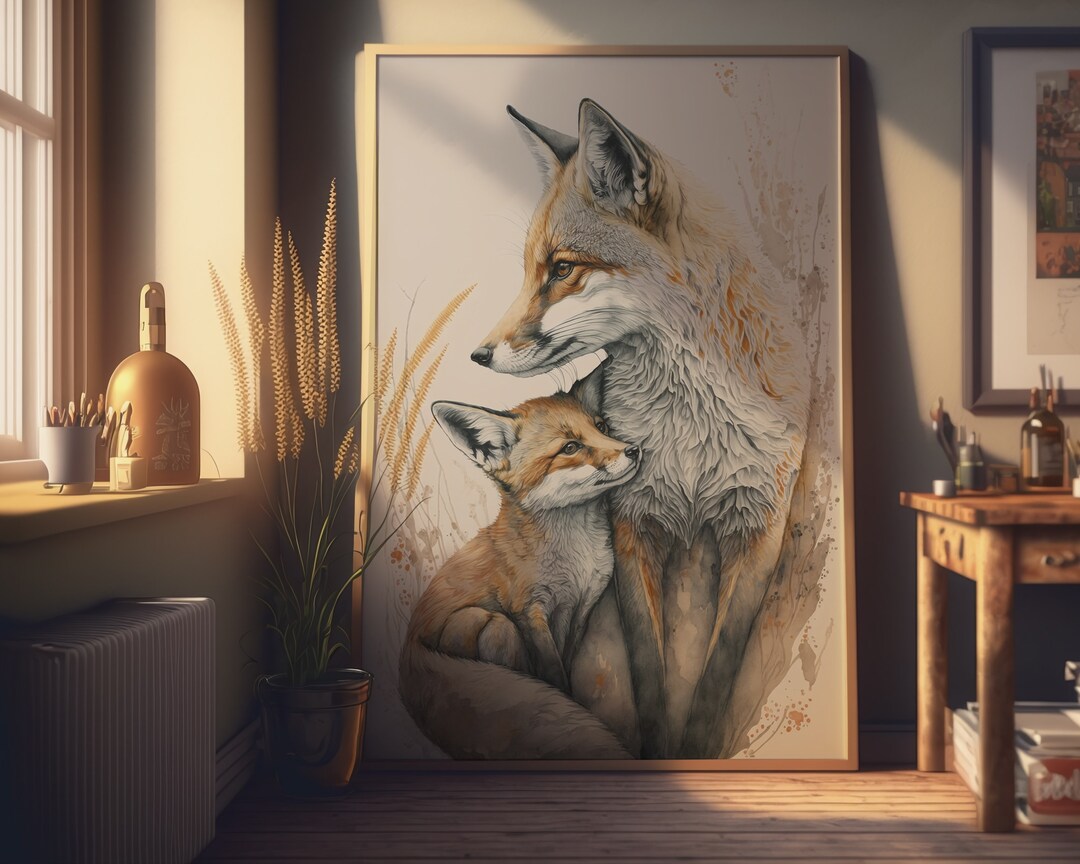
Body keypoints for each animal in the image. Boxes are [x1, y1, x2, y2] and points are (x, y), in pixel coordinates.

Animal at [398, 390, 641, 759]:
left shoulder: (581, 609)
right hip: (492, 624)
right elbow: (552, 672)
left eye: (601, 427)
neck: (576, 560)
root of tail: (408, 658)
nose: (634, 449)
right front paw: (564, 701)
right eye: (570, 447)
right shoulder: (529, 612)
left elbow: (566, 663)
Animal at [465, 98, 812, 758]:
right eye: (529, 270)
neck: (693, 431)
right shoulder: (633, 522)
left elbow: (716, 674)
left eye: (562, 268)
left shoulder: (759, 528)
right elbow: (651, 671)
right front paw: (655, 753)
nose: (478, 355)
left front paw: (699, 752)